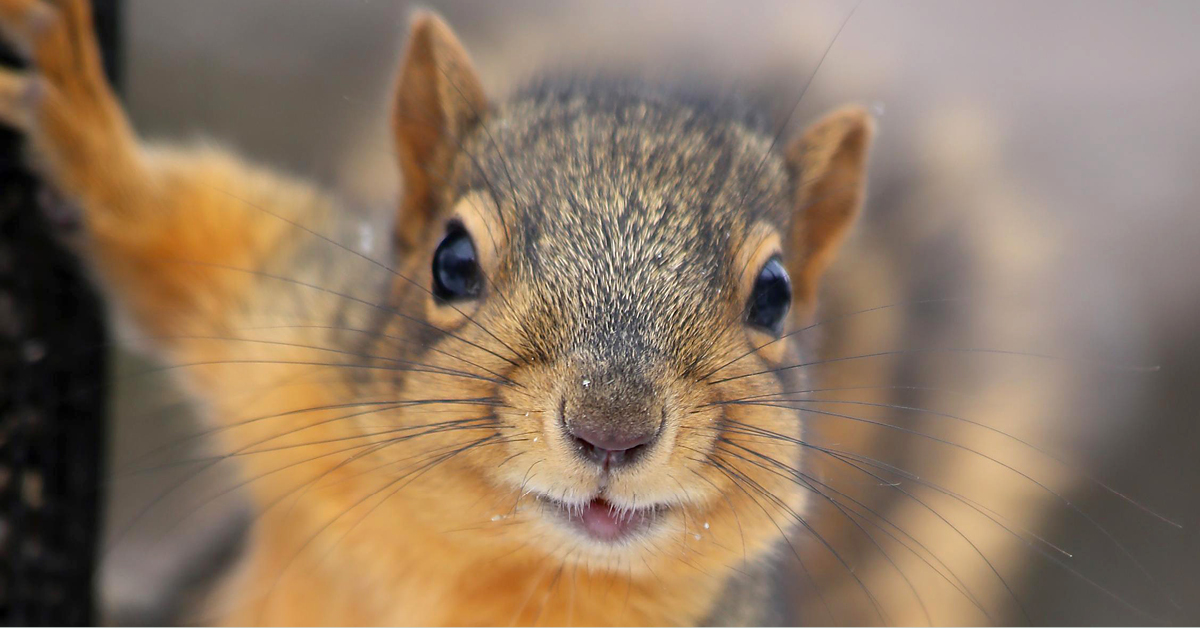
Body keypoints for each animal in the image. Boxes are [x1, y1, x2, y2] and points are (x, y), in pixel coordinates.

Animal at [0, 1, 877, 624]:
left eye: (775, 295)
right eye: (451, 261)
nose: (612, 431)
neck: (499, 564)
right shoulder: (290, 345)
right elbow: (180, 234)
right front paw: (76, 110)